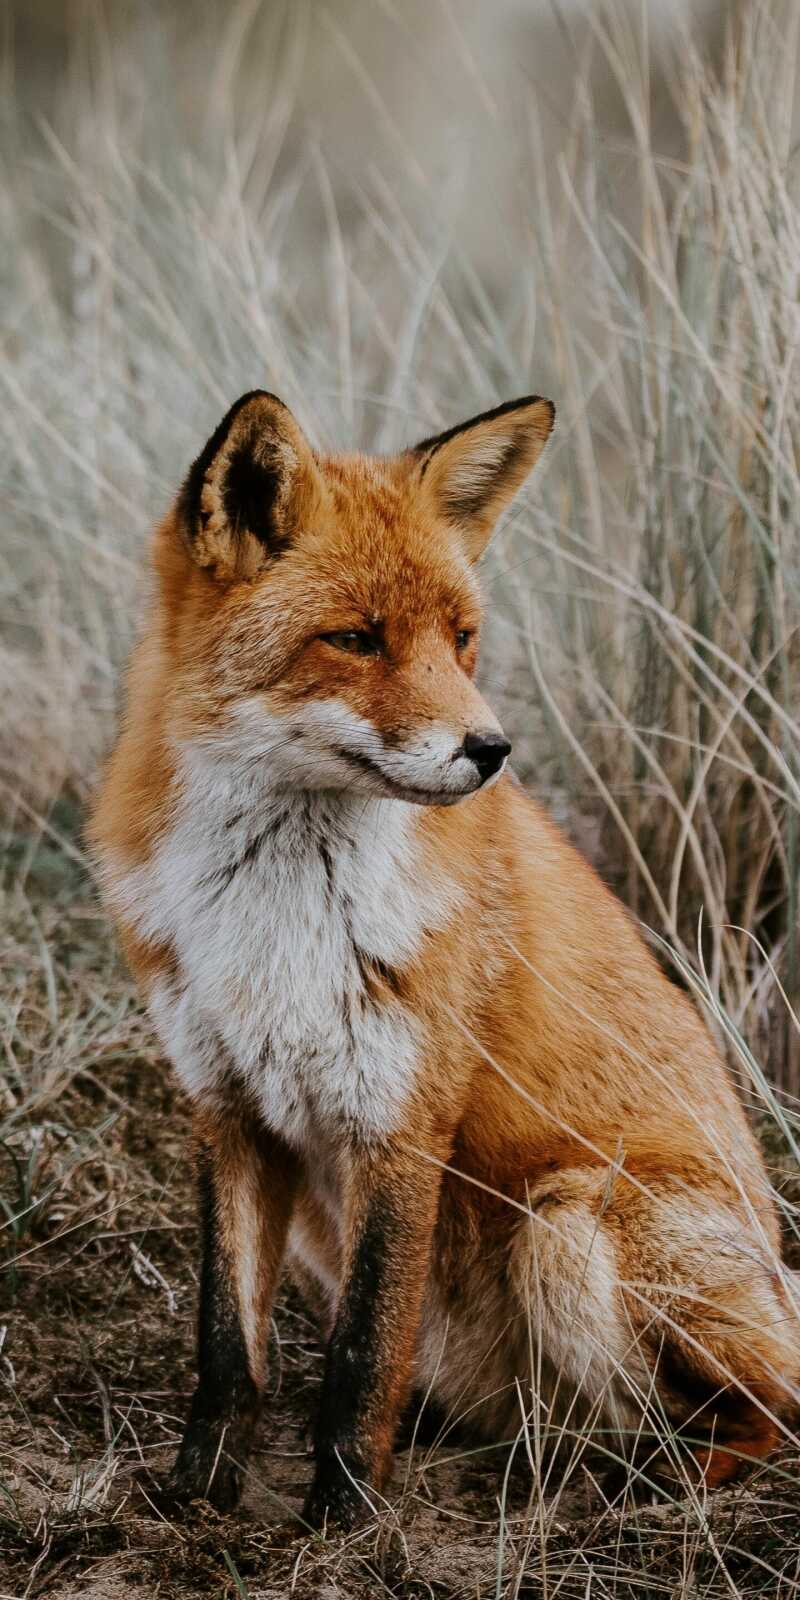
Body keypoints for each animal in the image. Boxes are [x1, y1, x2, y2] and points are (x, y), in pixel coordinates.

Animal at [89, 388, 799, 1531]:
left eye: (461, 640)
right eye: (353, 638)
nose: (491, 749)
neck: (274, 917)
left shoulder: (400, 1117)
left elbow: (360, 1353)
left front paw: (344, 1524)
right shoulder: (227, 1109)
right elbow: (227, 1348)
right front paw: (196, 1499)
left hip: (569, 1223)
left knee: (766, 1414)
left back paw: (642, 1486)